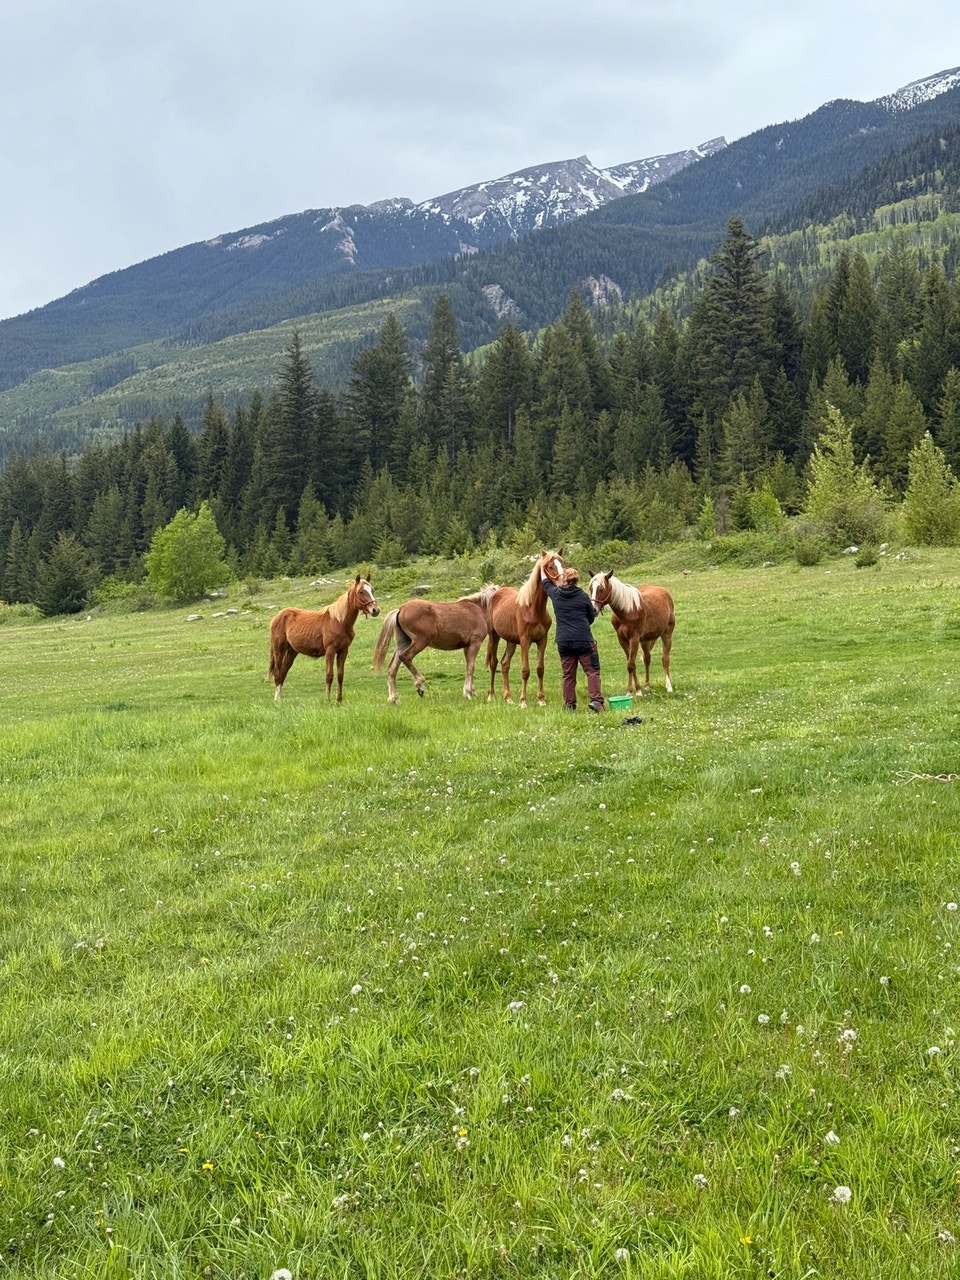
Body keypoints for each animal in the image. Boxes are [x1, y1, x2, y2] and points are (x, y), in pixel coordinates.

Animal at [268, 575, 380, 703]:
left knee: (283, 673)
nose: (375, 610)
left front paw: (339, 700)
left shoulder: (343, 651)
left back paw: (280, 700)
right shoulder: (330, 651)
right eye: (361, 591)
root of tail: (277, 617)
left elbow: (340, 675)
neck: (339, 621)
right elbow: (329, 675)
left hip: (292, 652)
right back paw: (277, 701)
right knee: (277, 673)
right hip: (278, 650)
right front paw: (327, 700)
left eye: (372, 590)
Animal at [484, 549, 565, 708]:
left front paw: (541, 700)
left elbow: (540, 669)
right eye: (550, 566)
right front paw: (523, 701)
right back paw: (491, 696)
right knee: (493, 663)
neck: (533, 609)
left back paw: (508, 697)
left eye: (562, 563)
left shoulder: (542, 640)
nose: (563, 584)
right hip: (494, 636)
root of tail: (498, 590)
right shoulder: (525, 641)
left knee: (505, 664)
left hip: (511, 641)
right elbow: (525, 670)